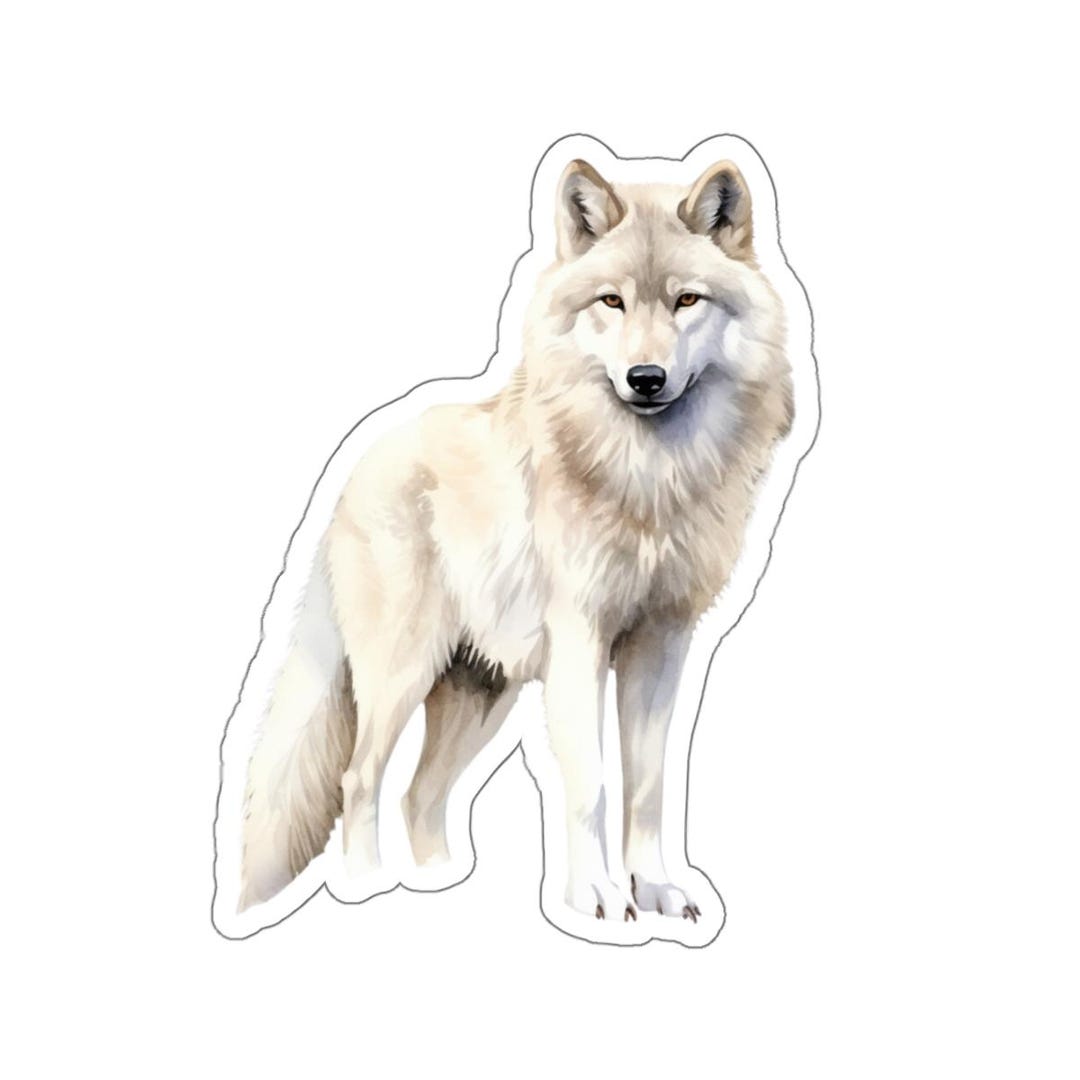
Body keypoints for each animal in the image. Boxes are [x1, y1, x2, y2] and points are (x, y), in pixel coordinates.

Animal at [236, 154, 793, 927]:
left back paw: (441, 883)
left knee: (419, 794)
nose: (646, 378)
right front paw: (594, 896)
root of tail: (355, 469)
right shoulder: (581, 641)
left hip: (480, 692)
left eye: (687, 300)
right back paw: (366, 887)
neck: (646, 478)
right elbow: (591, 782)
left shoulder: (662, 645)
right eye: (612, 302)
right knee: (359, 778)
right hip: (402, 674)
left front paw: (654, 890)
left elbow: (648, 785)